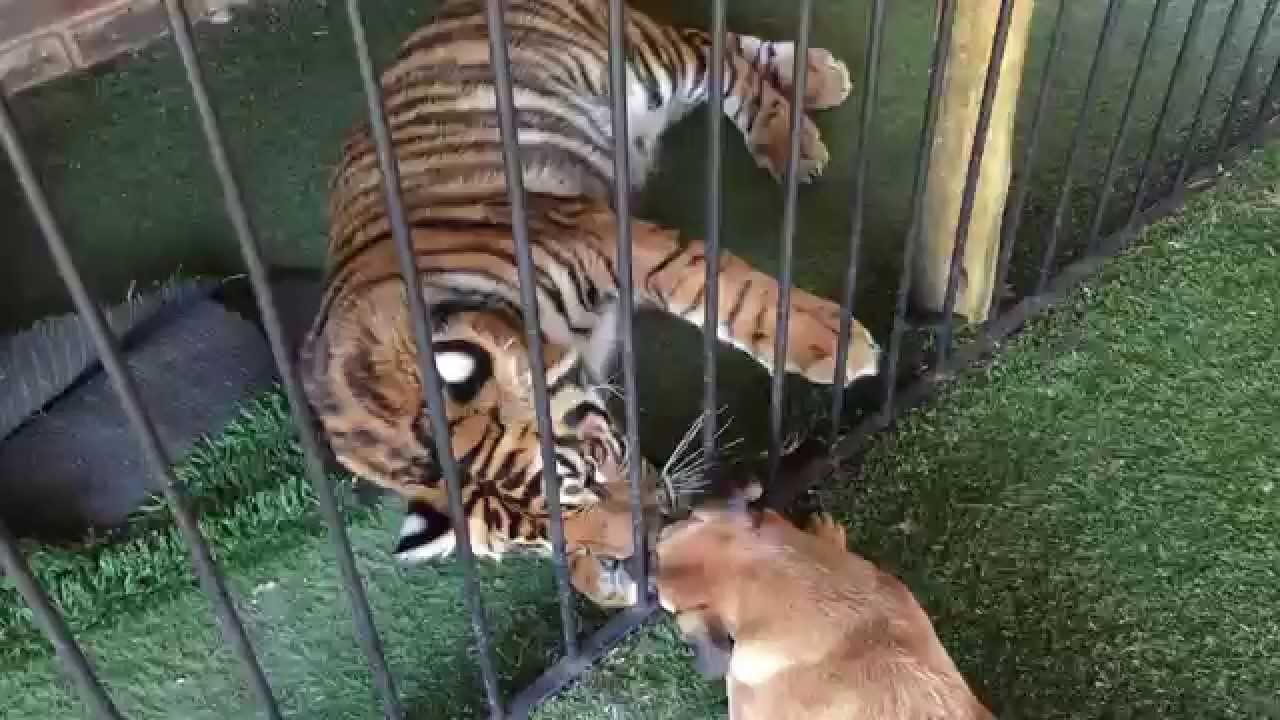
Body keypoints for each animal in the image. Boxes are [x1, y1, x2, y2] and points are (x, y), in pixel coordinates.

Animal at [298, 0, 882, 608]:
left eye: (591, 476)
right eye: (542, 537)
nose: (642, 554)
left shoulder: (596, 232)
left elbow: (715, 286)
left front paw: (833, 343)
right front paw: (602, 582)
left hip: (648, 65)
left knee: (721, 58)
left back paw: (793, 136)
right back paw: (816, 75)